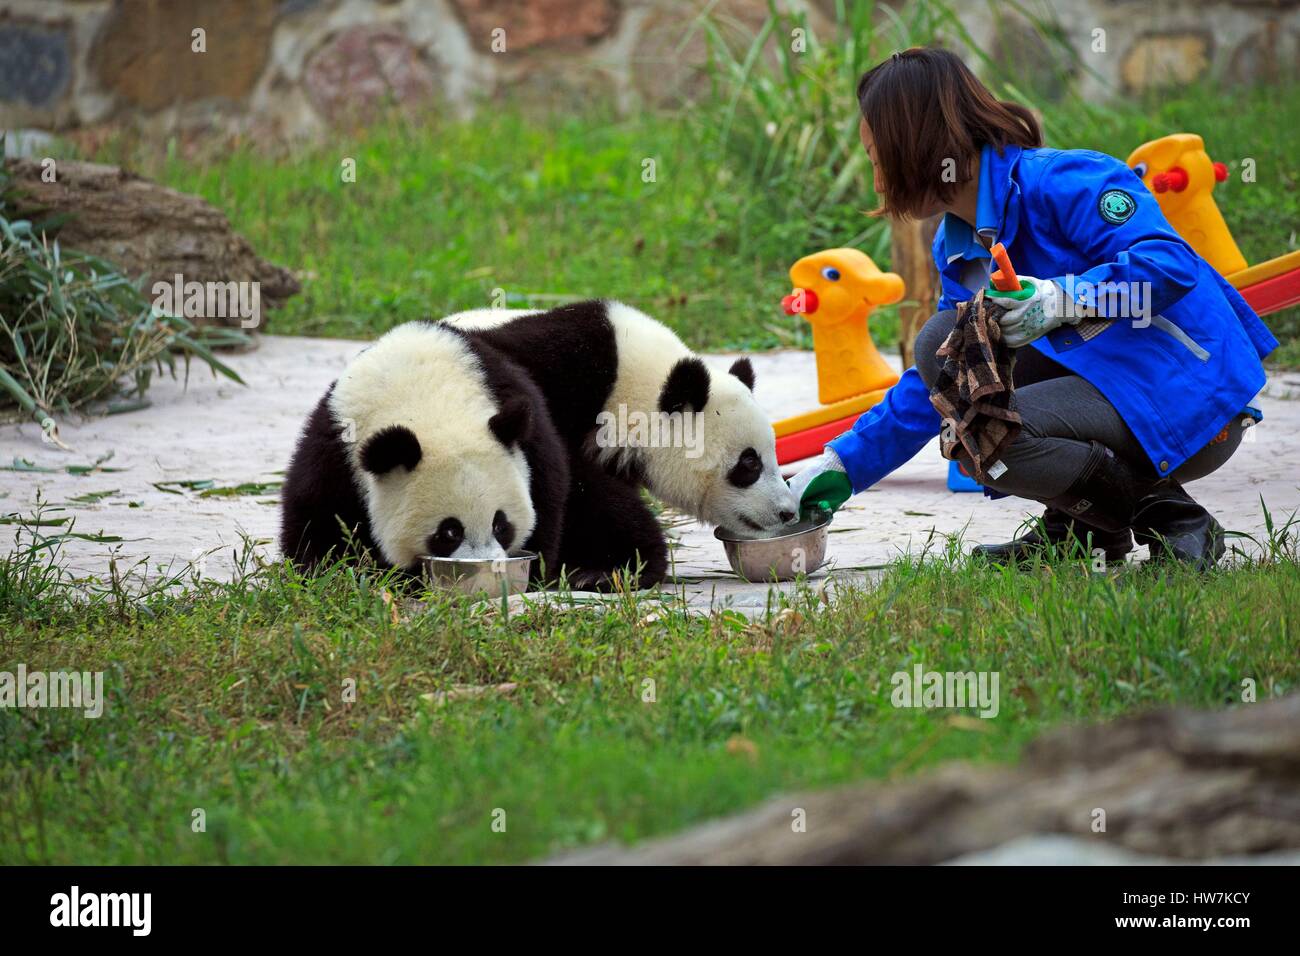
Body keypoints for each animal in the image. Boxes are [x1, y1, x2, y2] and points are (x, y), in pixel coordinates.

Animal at [280, 321, 569, 578]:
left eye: (500, 524)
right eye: (450, 532)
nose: (491, 565)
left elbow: (546, 506)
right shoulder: (337, 449)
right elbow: (318, 523)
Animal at [443, 300, 799, 589]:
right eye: (749, 463)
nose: (787, 511)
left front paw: (608, 568)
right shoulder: (556, 373)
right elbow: (576, 486)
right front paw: (608, 570)